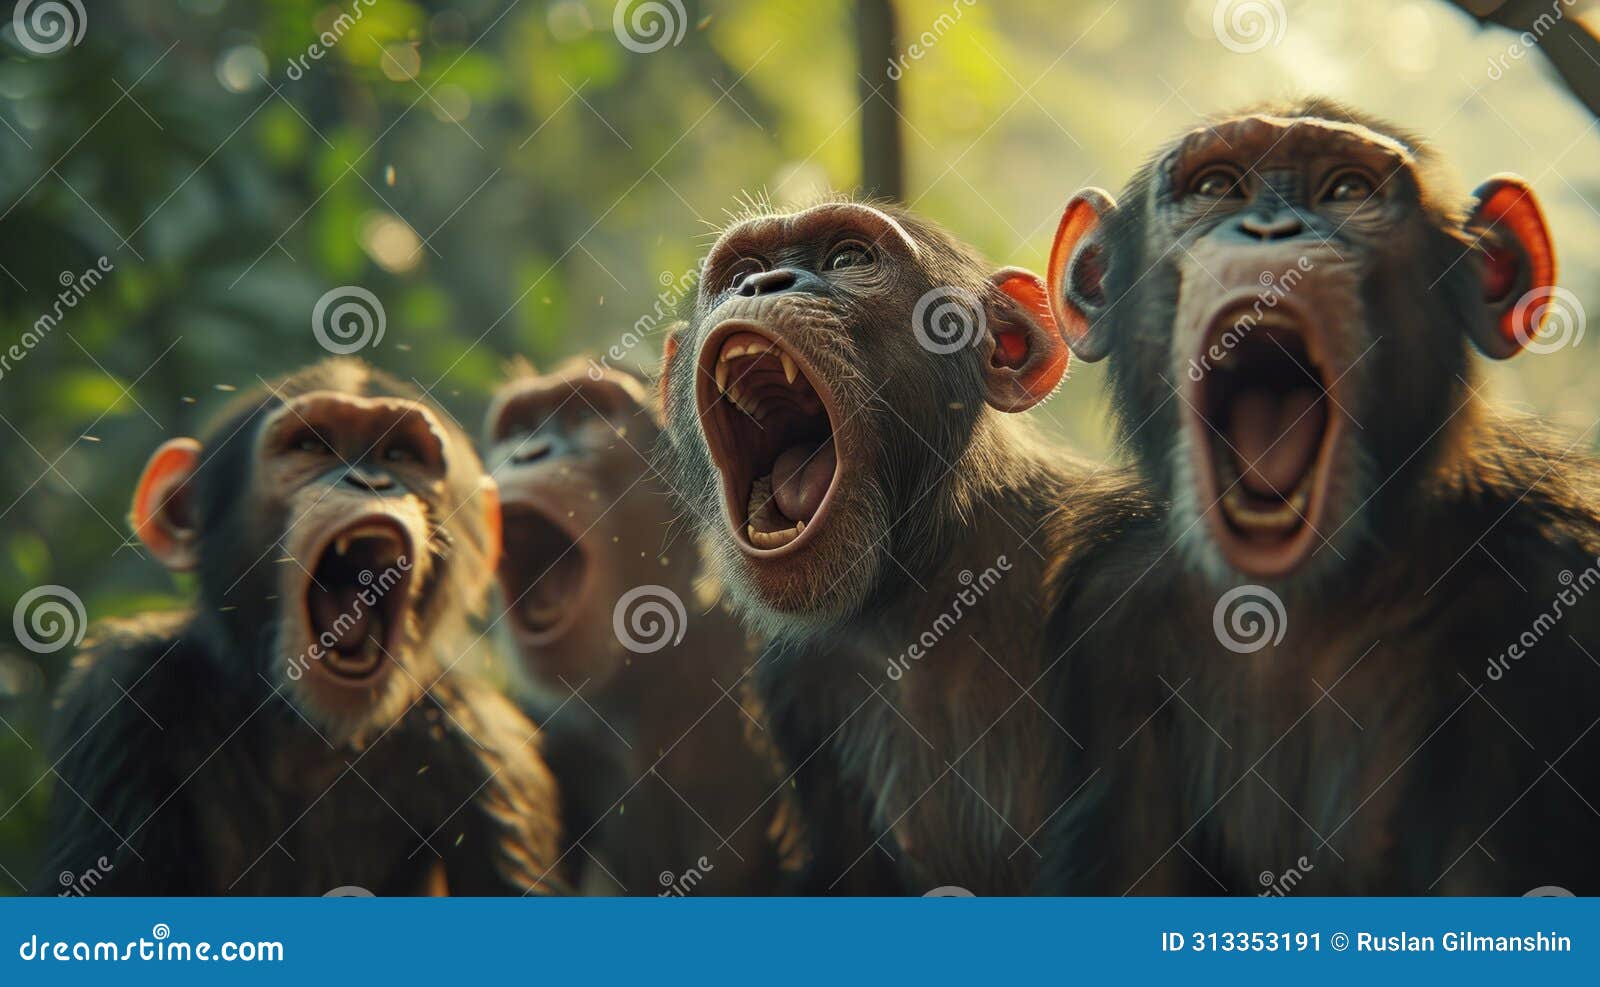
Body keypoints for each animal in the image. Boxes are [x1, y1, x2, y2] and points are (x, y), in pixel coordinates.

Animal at [32, 358, 567, 896]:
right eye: (310, 446)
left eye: (399, 454)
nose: (369, 481)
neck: (307, 735)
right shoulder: (121, 692)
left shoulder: (493, 754)